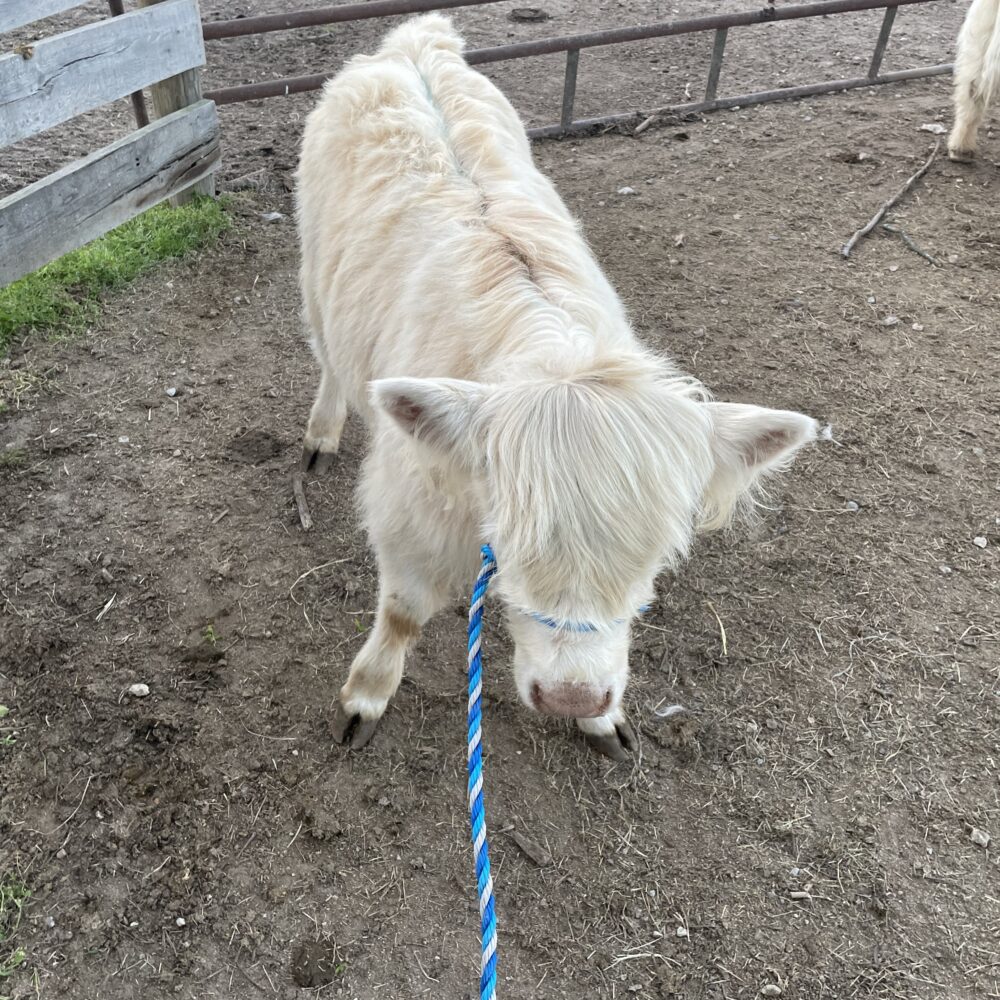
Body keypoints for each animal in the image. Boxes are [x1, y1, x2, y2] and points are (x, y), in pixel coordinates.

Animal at [296, 15, 819, 761]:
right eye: (512, 545)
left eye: (656, 559)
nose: (573, 695)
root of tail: (413, 43)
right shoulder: (407, 509)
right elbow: (401, 613)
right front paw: (364, 697)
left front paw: (604, 720)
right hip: (313, 272)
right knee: (329, 359)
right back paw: (321, 432)